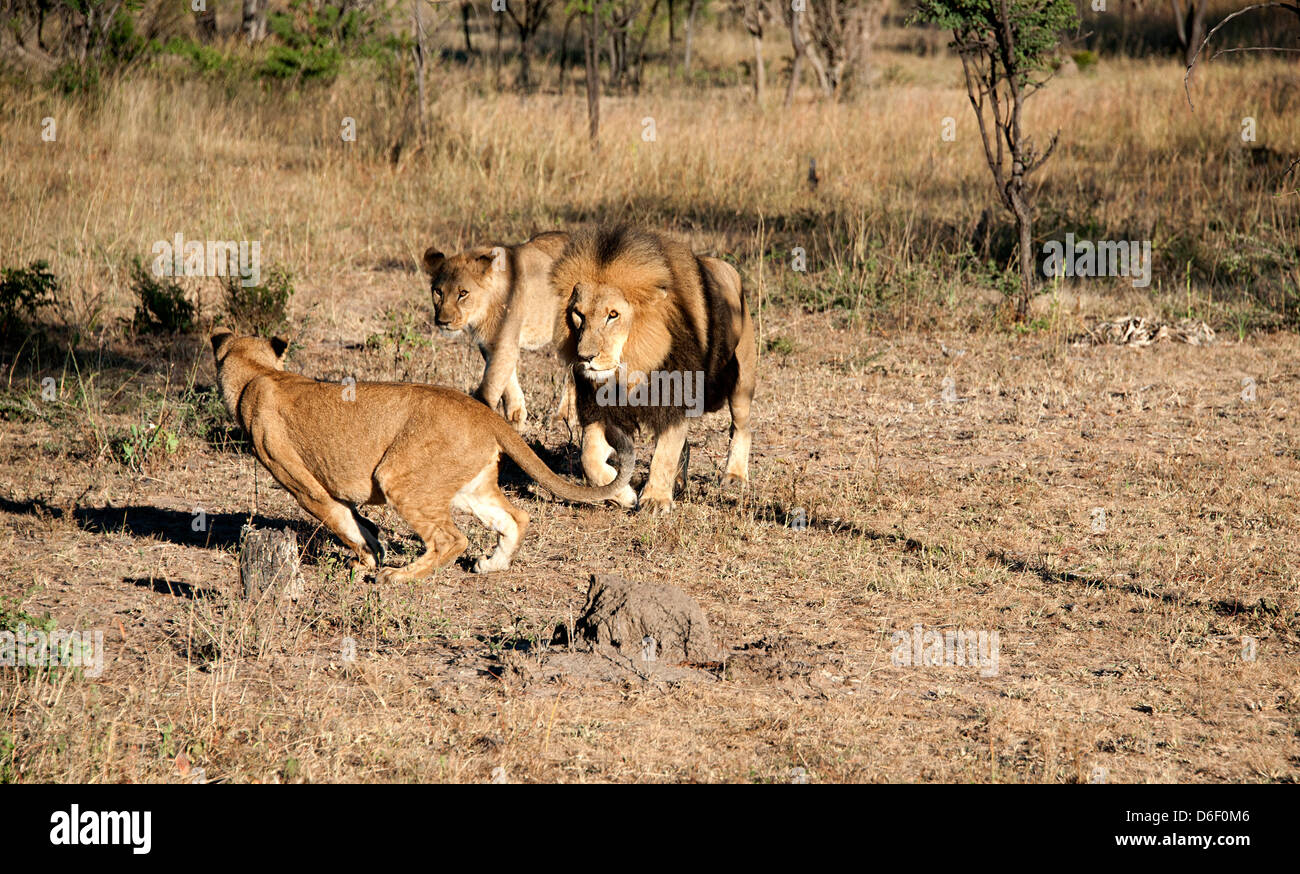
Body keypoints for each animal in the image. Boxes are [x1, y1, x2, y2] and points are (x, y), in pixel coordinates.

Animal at [210, 329, 632, 581]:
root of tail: (483, 412)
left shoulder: (304, 485)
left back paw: (400, 576)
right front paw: (373, 549)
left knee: (452, 539)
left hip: (399, 478)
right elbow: (360, 521)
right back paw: (490, 565)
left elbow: (343, 522)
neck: (256, 373)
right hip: (469, 487)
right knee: (516, 517)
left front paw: (368, 561)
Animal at [422, 231, 576, 429]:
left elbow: (489, 387)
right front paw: (516, 418)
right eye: (438, 292)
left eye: (463, 293)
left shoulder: (505, 343)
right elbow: (507, 382)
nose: (443, 321)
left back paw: (563, 418)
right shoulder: (489, 344)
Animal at [550, 226, 756, 513]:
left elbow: (665, 452)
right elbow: (589, 457)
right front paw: (621, 493)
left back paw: (735, 476)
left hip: (742, 380)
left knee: (742, 426)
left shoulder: (674, 398)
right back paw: (678, 482)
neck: (632, 365)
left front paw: (655, 500)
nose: (585, 357)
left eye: (613, 315)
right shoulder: (597, 407)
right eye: (578, 314)